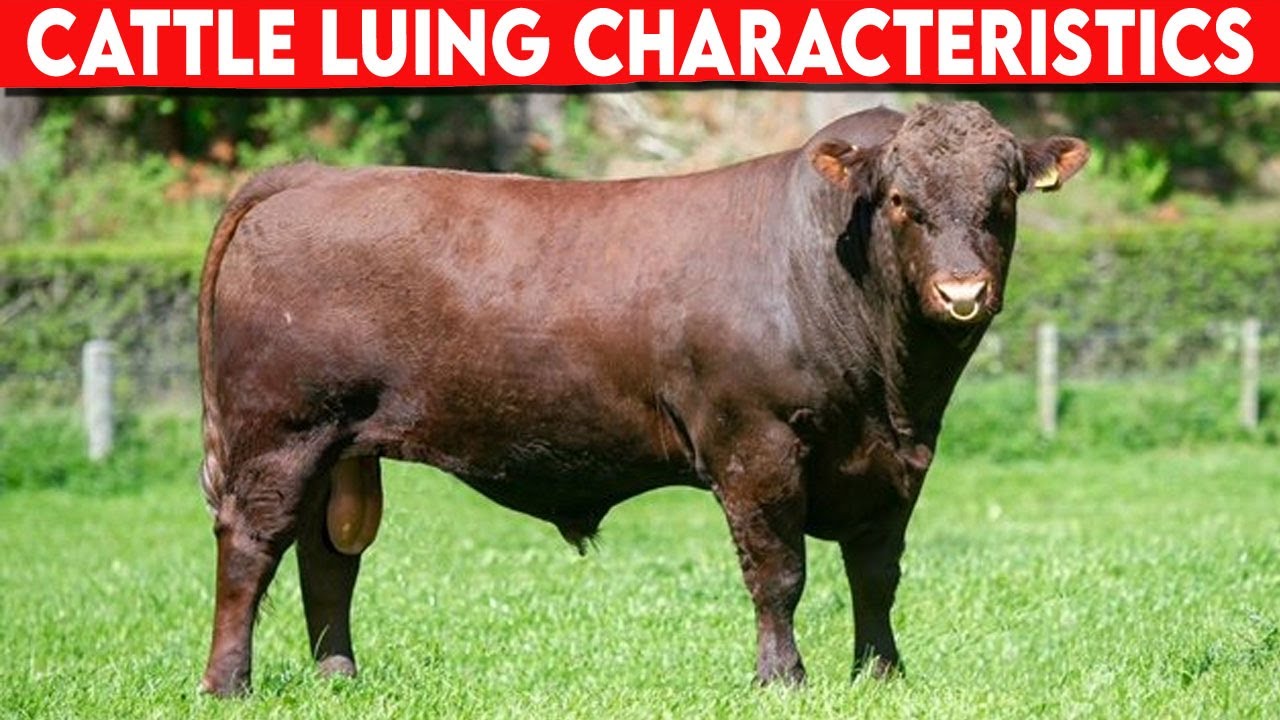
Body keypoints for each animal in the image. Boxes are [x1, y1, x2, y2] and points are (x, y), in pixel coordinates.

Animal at [197, 101, 1088, 696]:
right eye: (902, 201)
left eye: (1002, 200)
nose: (962, 291)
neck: (890, 388)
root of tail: (308, 177)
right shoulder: (755, 446)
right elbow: (779, 573)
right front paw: (783, 678)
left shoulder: (897, 461)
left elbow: (876, 573)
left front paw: (881, 674)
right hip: (278, 431)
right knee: (252, 546)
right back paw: (228, 683)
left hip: (340, 445)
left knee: (327, 557)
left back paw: (338, 675)